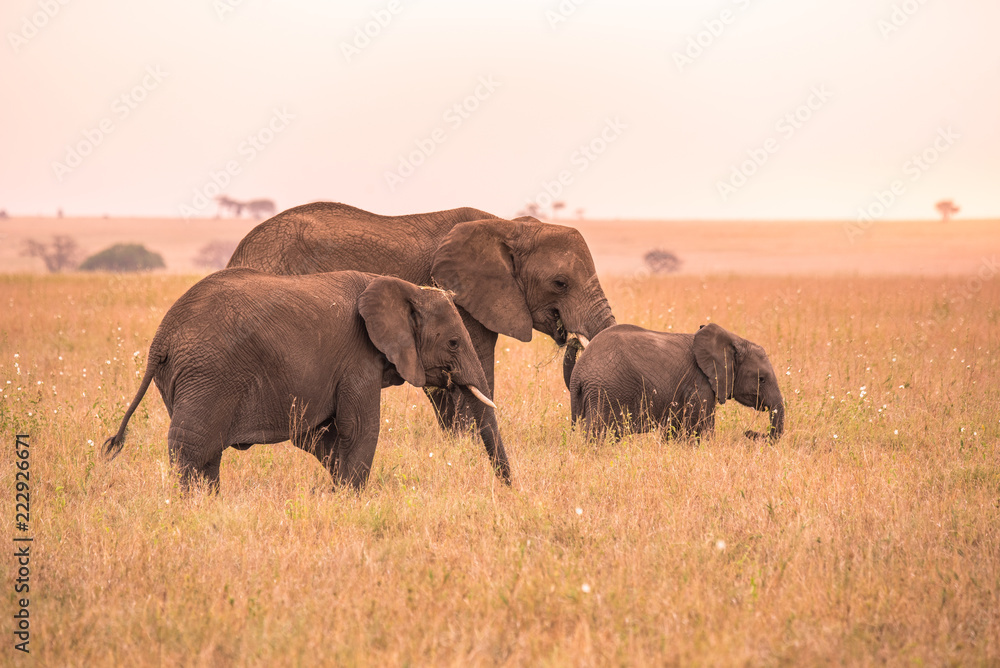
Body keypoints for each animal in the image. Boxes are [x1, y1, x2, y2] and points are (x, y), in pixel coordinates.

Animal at [102, 269, 508, 492]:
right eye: (453, 342)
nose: (509, 490)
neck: (403, 287)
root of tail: (161, 338)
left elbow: (318, 435)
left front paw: (338, 493)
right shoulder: (357, 356)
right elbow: (360, 427)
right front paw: (352, 501)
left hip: (186, 378)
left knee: (206, 454)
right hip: (207, 373)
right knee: (192, 449)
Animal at [564, 323, 785, 441]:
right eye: (761, 379)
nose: (749, 433)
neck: (733, 341)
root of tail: (578, 375)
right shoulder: (699, 383)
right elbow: (700, 428)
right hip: (604, 392)